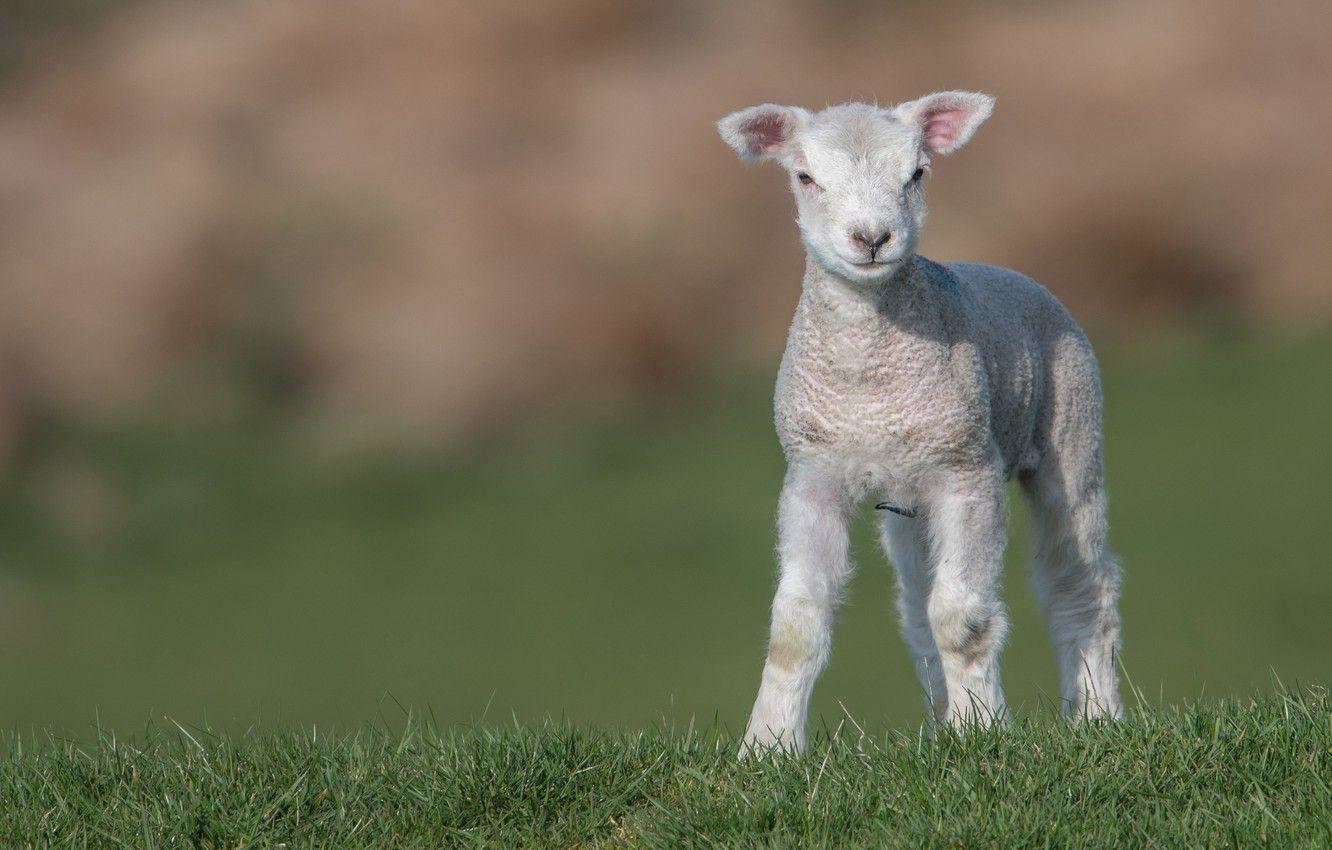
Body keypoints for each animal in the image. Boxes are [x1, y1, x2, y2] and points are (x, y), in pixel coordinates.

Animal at [717, 92, 1123, 755]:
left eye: (916, 174)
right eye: (804, 177)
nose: (871, 237)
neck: (870, 385)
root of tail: (1006, 270)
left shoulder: (967, 474)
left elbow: (961, 618)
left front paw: (980, 730)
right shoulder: (811, 478)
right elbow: (796, 625)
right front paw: (767, 747)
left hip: (1072, 427)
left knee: (1080, 582)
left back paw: (1096, 714)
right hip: (909, 503)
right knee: (914, 607)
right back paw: (939, 722)